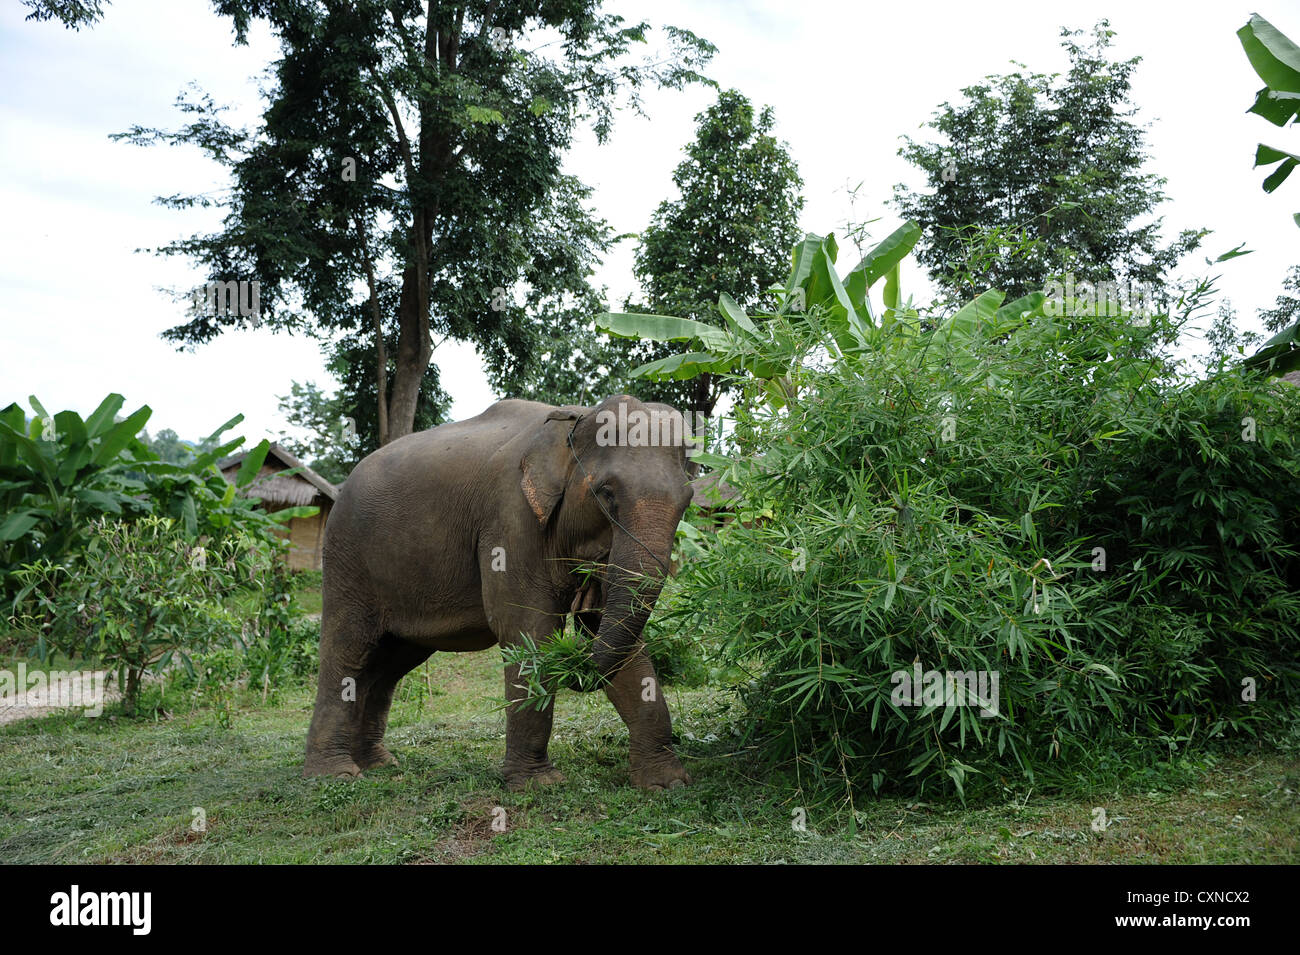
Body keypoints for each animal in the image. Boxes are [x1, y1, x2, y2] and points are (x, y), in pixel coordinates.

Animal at [303, 393, 699, 791]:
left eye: (687, 500)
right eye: (606, 494)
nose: (575, 663)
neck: (575, 416)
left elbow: (617, 635)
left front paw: (667, 783)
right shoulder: (509, 519)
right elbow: (528, 628)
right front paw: (539, 785)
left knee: (390, 663)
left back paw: (379, 764)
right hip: (348, 559)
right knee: (348, 648)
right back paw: (336, 773)